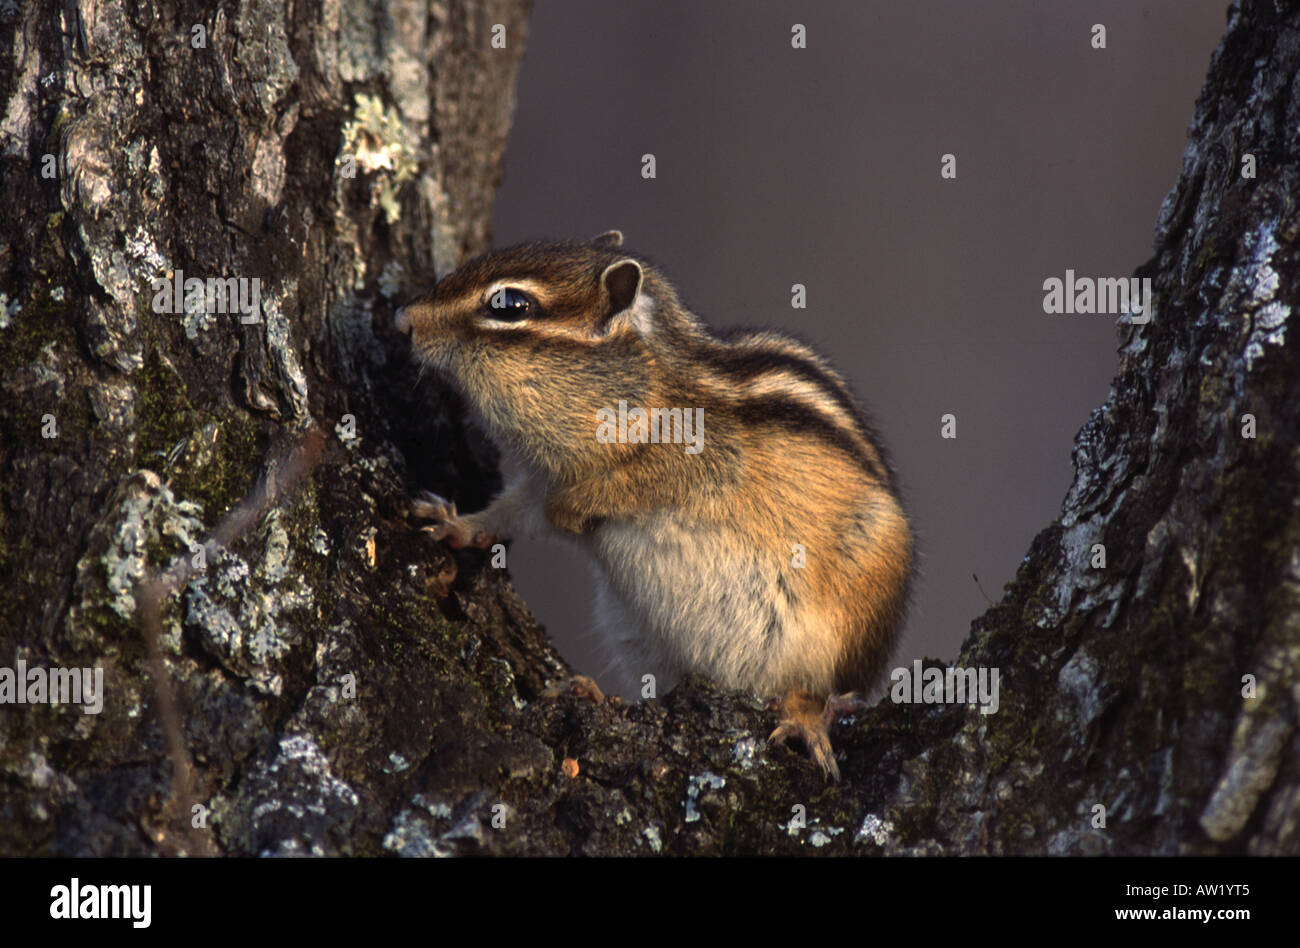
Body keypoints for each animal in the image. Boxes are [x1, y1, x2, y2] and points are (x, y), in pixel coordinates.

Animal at [395, 231, 915, 780]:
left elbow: (636, 484)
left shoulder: (698, 459)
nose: (403, 321)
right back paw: (595, 694)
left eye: (509, 305)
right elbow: (512, 512)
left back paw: (806, 717)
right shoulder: (542, 482)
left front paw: (571, 509)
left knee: (827, 692)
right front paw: (454, 524)